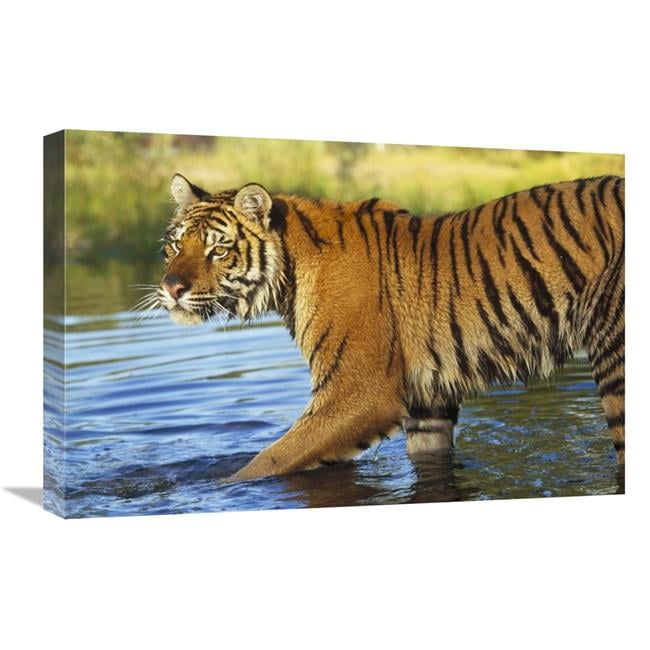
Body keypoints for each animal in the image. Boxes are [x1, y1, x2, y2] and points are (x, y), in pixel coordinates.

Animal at [155, 173, 625, 482]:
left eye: (218, 250)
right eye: (175, 245)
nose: (171, 287)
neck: (288, 276)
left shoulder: (360, 392)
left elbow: (266, 462)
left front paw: (212, 486)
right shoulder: (429, 399)